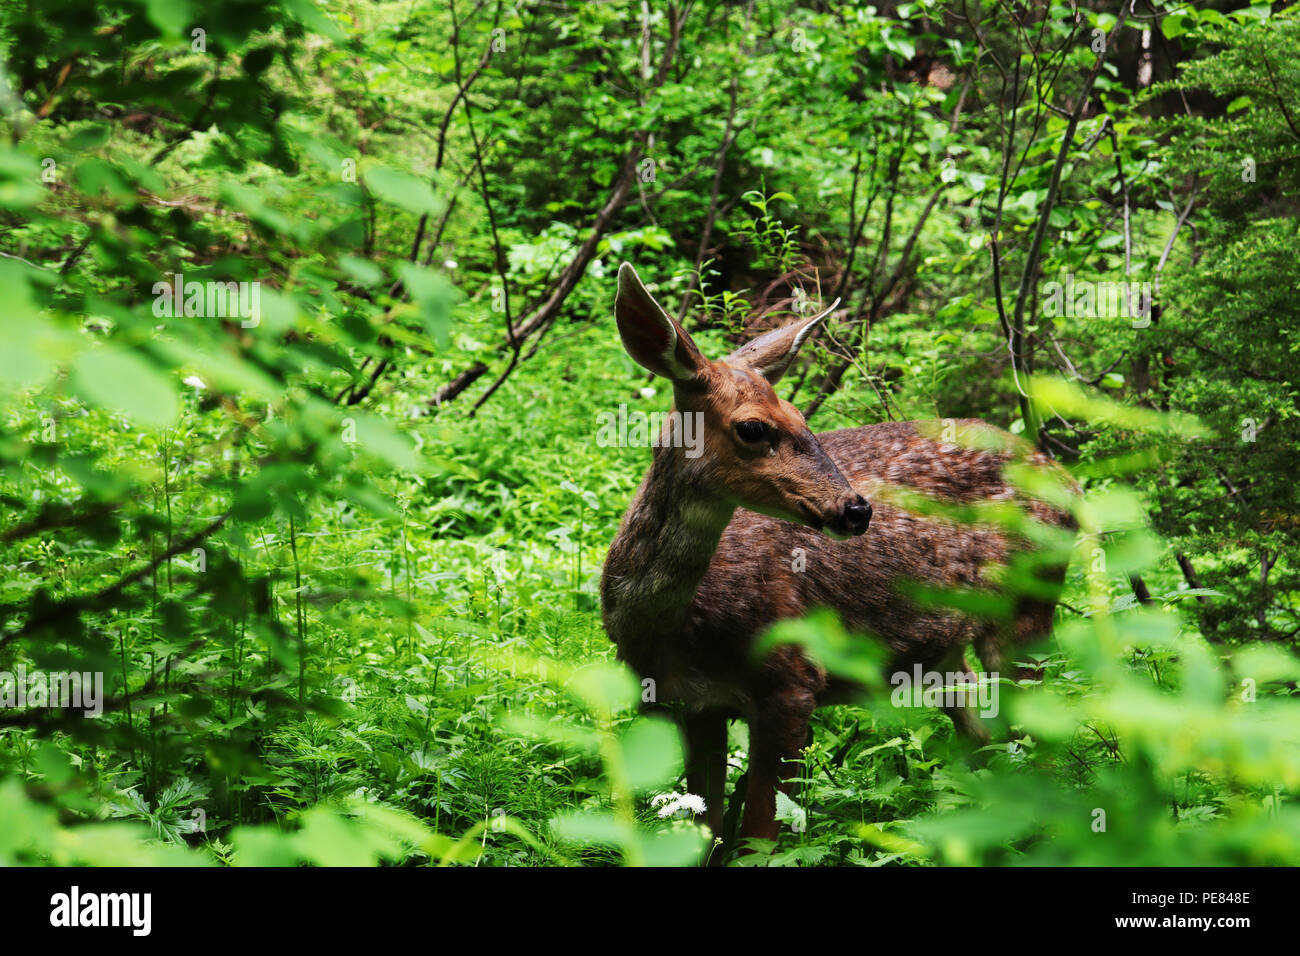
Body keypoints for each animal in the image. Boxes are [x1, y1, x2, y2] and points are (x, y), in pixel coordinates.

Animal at [600, 262, 1079, 859]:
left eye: (802, 415)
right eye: (753, 426)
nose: (855, 508)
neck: (674, 627)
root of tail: (1068, 480)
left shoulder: (792, 680)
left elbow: (759, 836)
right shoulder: (681, 704)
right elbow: (704, 832)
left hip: (1026, 610)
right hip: (943, 650)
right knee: (983, 738)